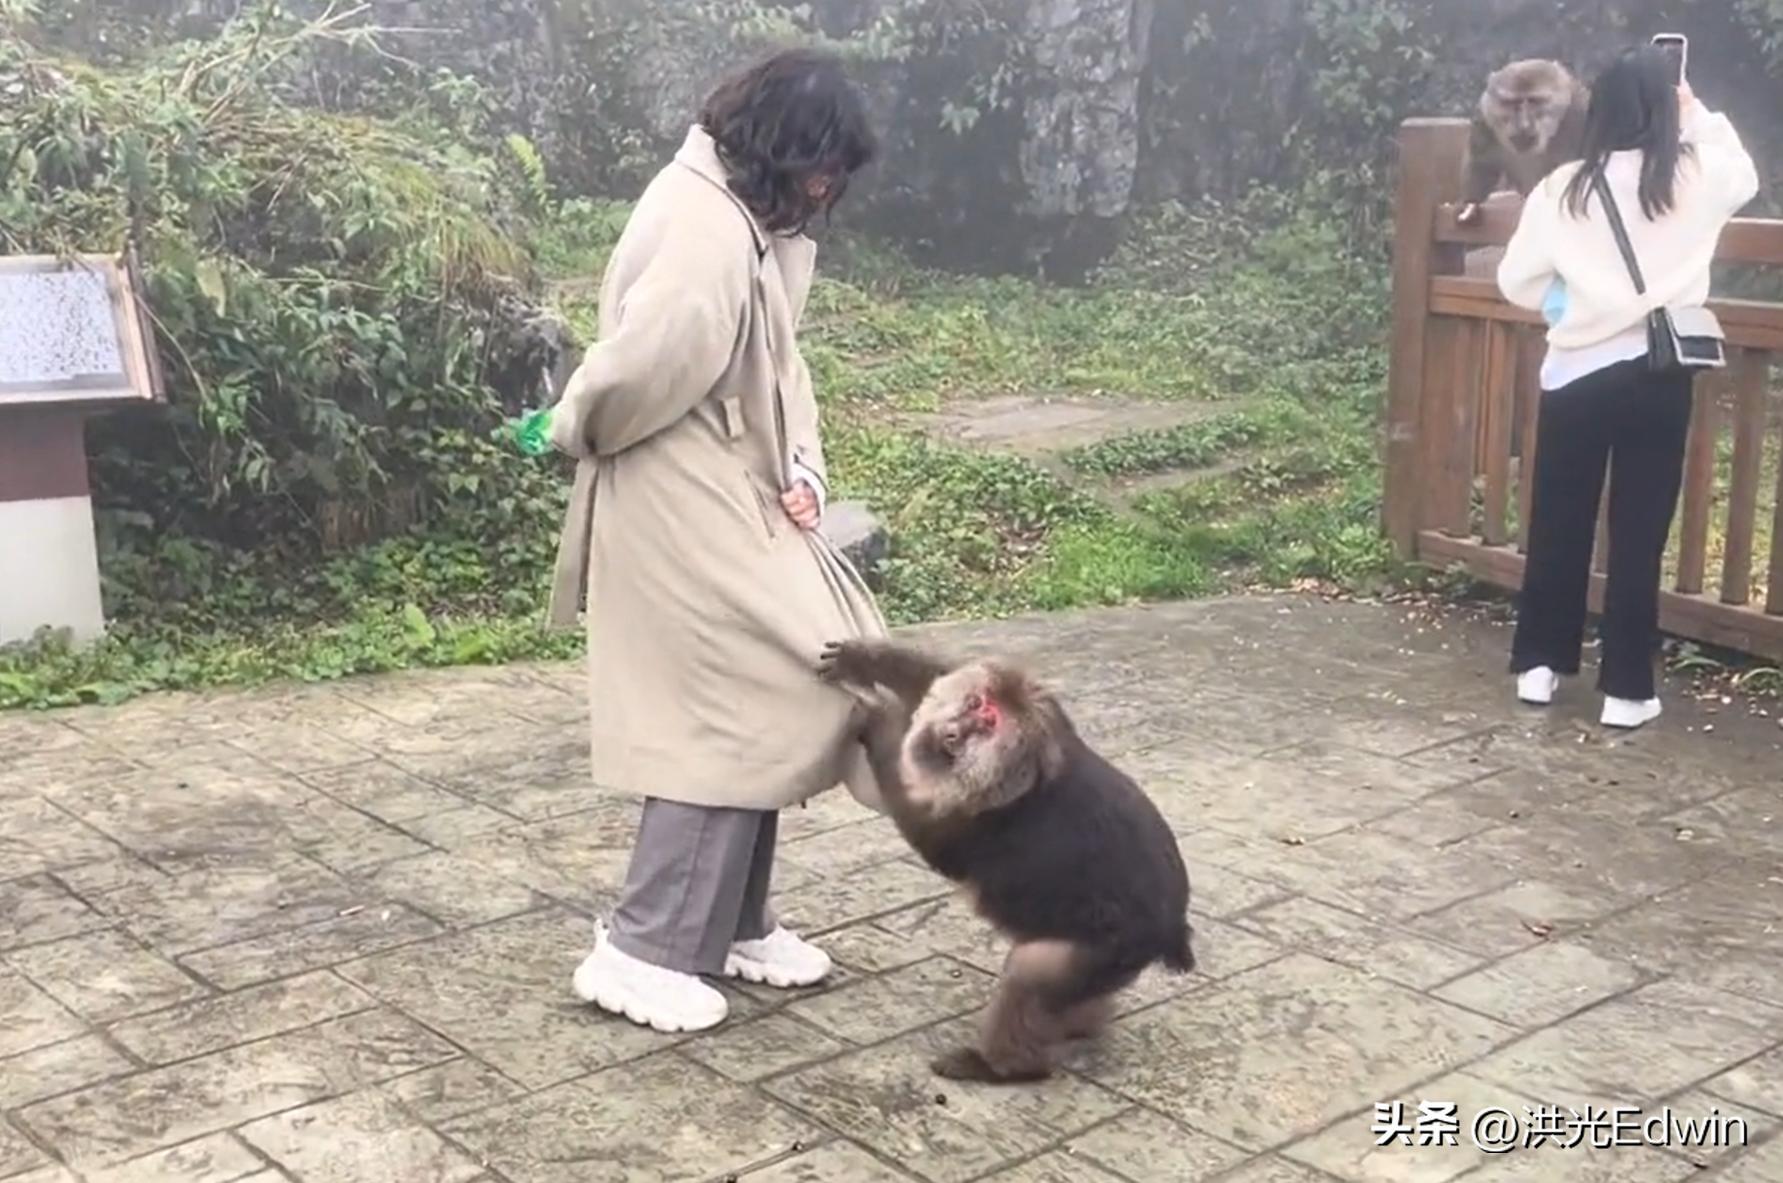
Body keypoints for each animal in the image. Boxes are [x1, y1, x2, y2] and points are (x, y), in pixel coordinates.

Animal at [816, 637, 1194, 1084]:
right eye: (976, 702)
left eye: (987, 722)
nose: (953, 729)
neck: (1018, 766)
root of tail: (1172, 928)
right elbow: (931, 679)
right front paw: (864, 659)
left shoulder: (981, 816)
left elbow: (927, 829)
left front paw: (880, 719)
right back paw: (1078, 1025)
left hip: (1103, 946)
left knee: (1027, 980)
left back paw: (1005, 1066)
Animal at [1456, 59, 1589, 226]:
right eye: (1511, 103)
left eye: (1534, 101)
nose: (1523, 125)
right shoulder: (1485, 117)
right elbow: (1481, 163)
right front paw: (1471, 204)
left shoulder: (1578, 116)